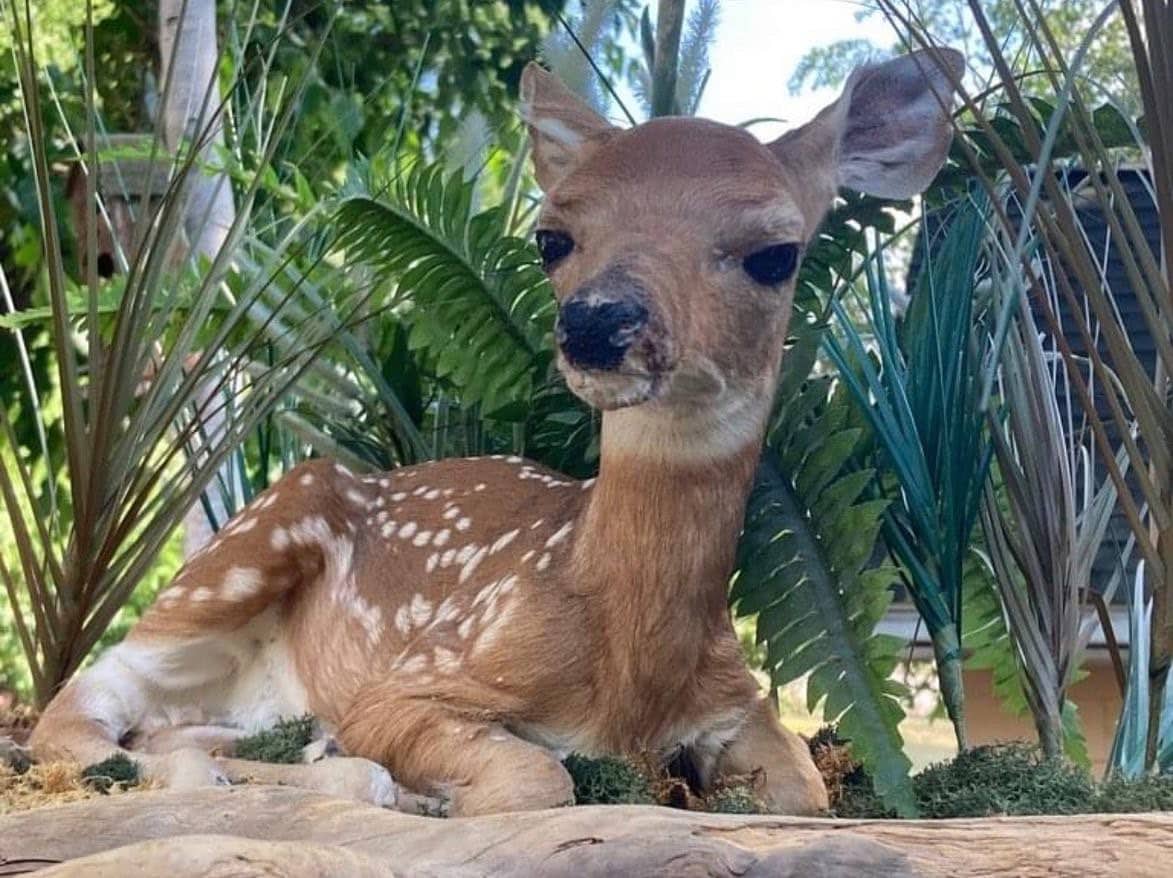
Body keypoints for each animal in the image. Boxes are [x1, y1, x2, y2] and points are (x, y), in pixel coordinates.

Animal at [29, 48, 963, 817]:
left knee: (169, 725)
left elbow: (806, 790)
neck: (628, 676)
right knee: (78, 715)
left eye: (774, 254)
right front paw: (425, 790)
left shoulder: (737, 701)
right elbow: (535, 777)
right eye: (552, 238)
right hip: (238, 553)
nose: (597, 320)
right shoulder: (423, 675)